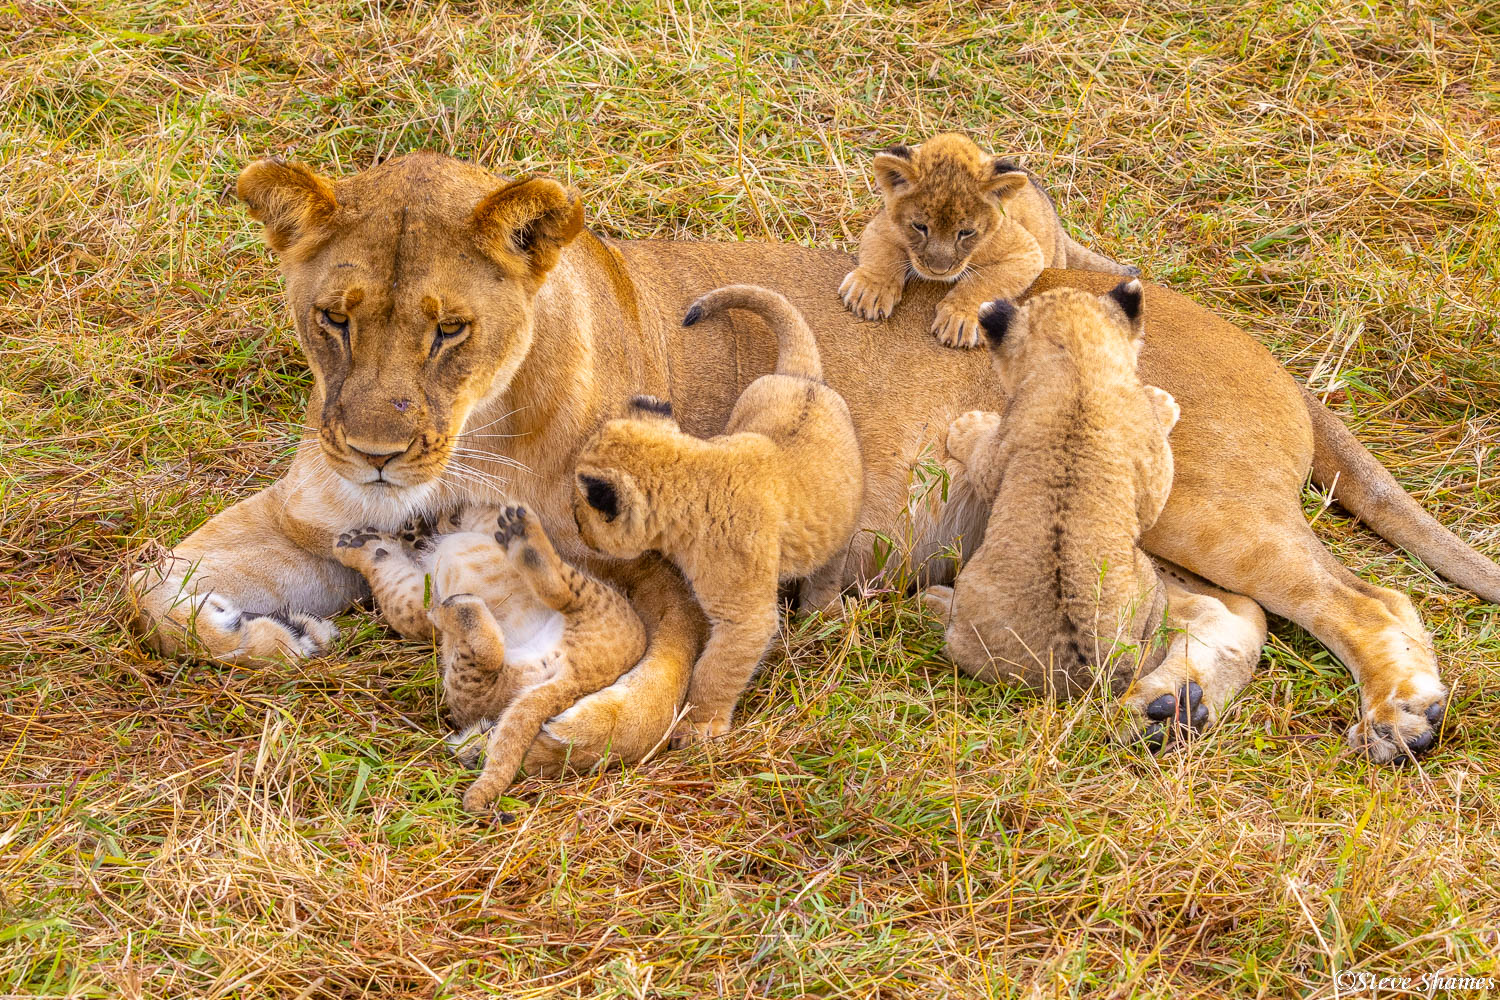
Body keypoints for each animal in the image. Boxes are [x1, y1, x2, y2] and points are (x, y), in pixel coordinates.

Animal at [570, 286, 863, 745]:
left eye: (581, 511)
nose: (575, 525)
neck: (692, 467)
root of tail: (803, 377)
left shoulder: (745, 618)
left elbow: (715, 671)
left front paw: (699, 727)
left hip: (839, 531)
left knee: (828, 569)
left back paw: (821, 612)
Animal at [839, 133, 1138, 348]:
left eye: (966, 232)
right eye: (920, 227)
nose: (938, 271)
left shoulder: (1026, 253)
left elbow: (983, 282)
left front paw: (959, 318)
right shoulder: (881, 226)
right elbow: (882, 254)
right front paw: (870, 291)